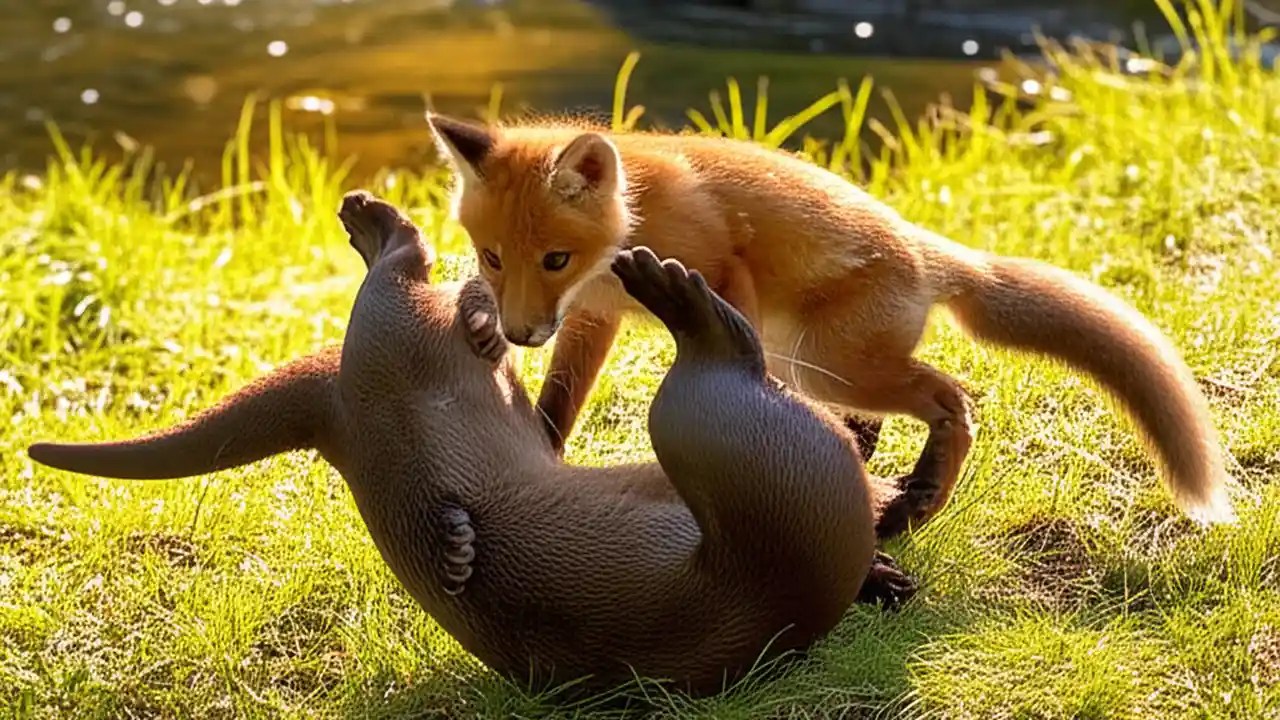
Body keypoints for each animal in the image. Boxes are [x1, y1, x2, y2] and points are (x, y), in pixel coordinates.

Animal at [424, 112, 1236, 527]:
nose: (519, 333)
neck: (635, 214)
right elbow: (558, 408)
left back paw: (918, 502)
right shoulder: (592, 321)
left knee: (954, 399)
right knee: (880, 418)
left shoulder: (725, 268)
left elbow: (724, 342)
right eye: (492, 258)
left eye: (554, 258)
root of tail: (923, 248)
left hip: (831, 361)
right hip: (812, 362)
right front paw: (536, 448)